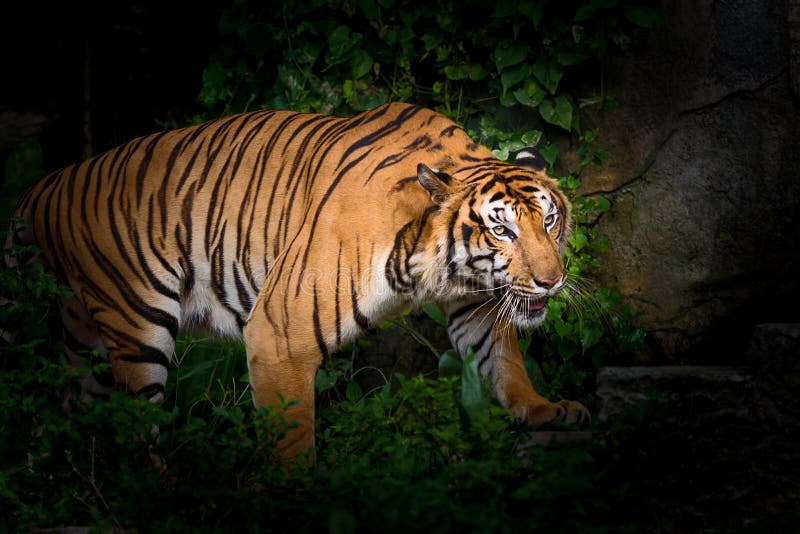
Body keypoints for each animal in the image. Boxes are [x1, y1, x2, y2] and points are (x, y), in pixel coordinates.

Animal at [5, 102, 590, 462]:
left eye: (549, 220)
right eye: (501, 229)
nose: (551, 281)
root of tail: (43, 186)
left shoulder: (475, 303)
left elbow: (503, 359)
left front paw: (543, 409)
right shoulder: (278, 333)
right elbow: (290, 437)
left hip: (88, 343)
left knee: (76, 414)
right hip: (136, 323)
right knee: (133, 432)